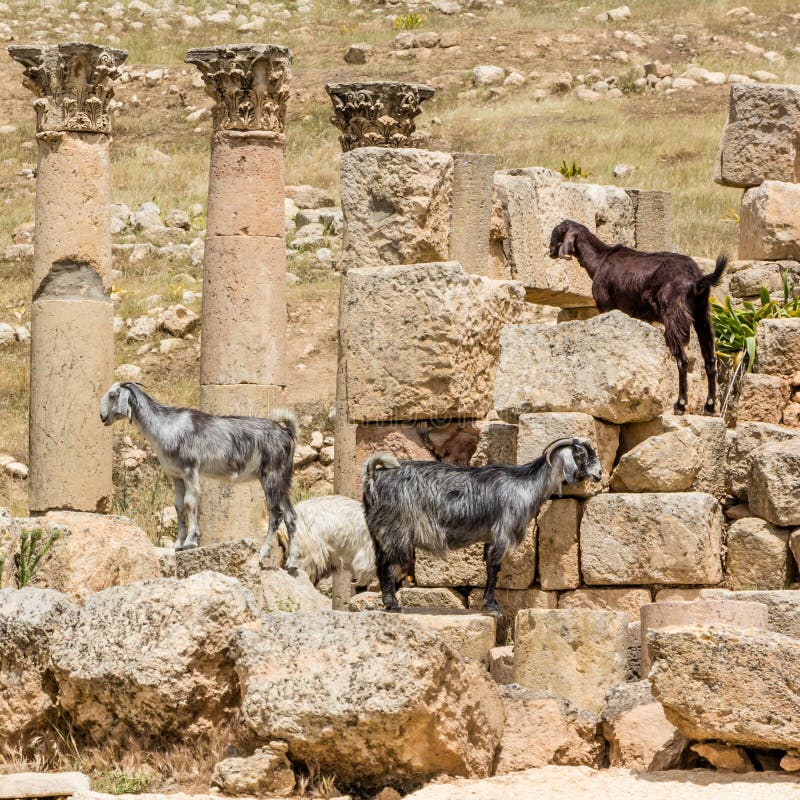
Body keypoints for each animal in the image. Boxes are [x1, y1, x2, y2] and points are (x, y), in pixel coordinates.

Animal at [99, 382, 298, 558]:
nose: (102, 416)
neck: (166, 425)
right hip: (282, 480)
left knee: (276, 514)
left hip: (271, 476)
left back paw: (263, 552)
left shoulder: (190, 469)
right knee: (291, 516)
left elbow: (190, 502)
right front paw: (177, 545)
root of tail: (287, 433)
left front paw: (190, 542)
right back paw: (292, 561)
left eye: (112, 395)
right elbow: (178, 505)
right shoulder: (176, 475)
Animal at [362, 437, 601, 614]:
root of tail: (374, 477)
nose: (599, 474)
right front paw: (491, 606)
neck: (524, 485)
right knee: (387, 566)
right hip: (395, 530)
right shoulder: (502, 532)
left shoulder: (490, 537)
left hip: (379, 533)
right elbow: (494, 568)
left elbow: (490, 566)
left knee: (381, 564)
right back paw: (393, 605)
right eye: (581, 454)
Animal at [549, 220, 727, 414]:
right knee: (710, 361)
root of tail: (697, 279)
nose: (550, 250)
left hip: (672, 317)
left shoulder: (606, 306)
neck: (600, 259)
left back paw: (680, 404)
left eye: (557, 232)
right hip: (703, 316)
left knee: (682, 360)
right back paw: (710, 406)